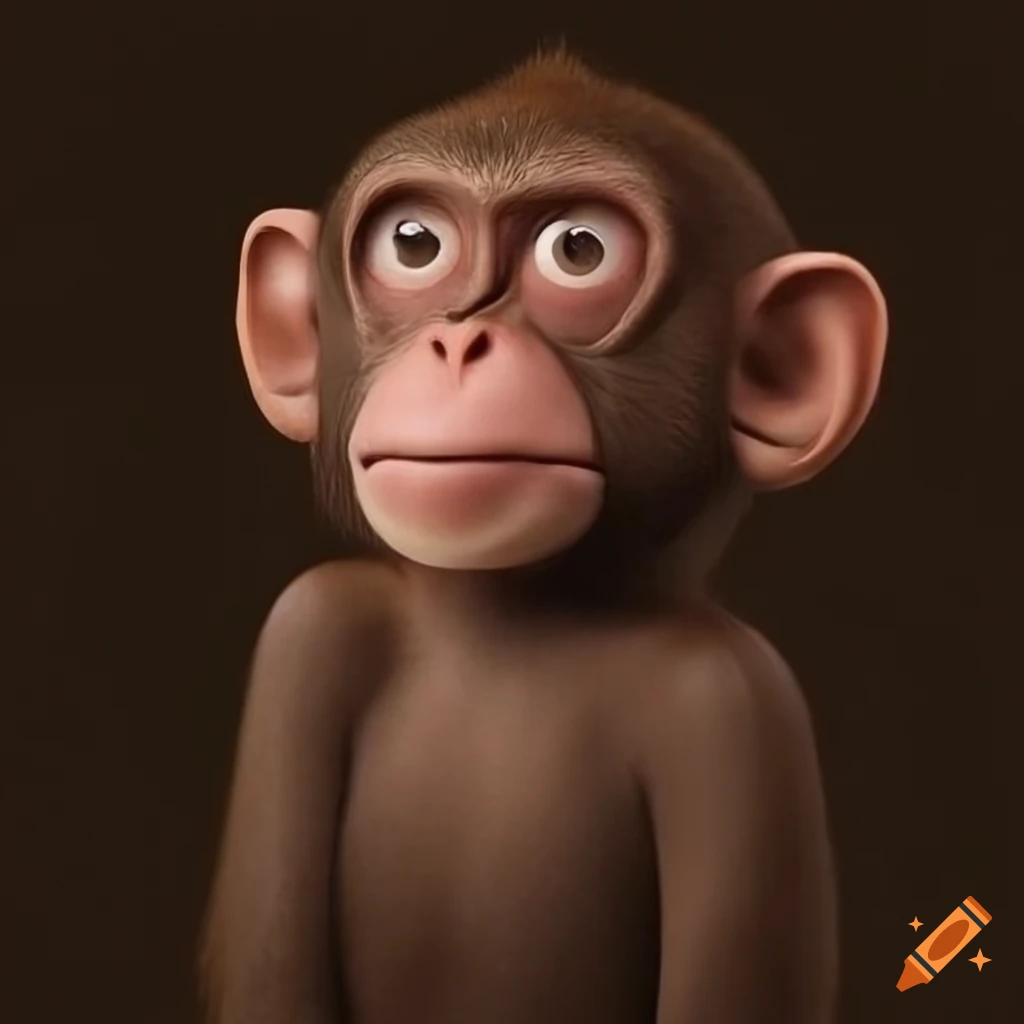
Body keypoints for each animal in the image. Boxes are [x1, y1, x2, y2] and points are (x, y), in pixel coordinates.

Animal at [202, 49, 887, 1024]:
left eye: (578, 251)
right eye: (415, 244)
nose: (459, 346)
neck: (510, 620)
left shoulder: (732, 705)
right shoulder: (308, 626)